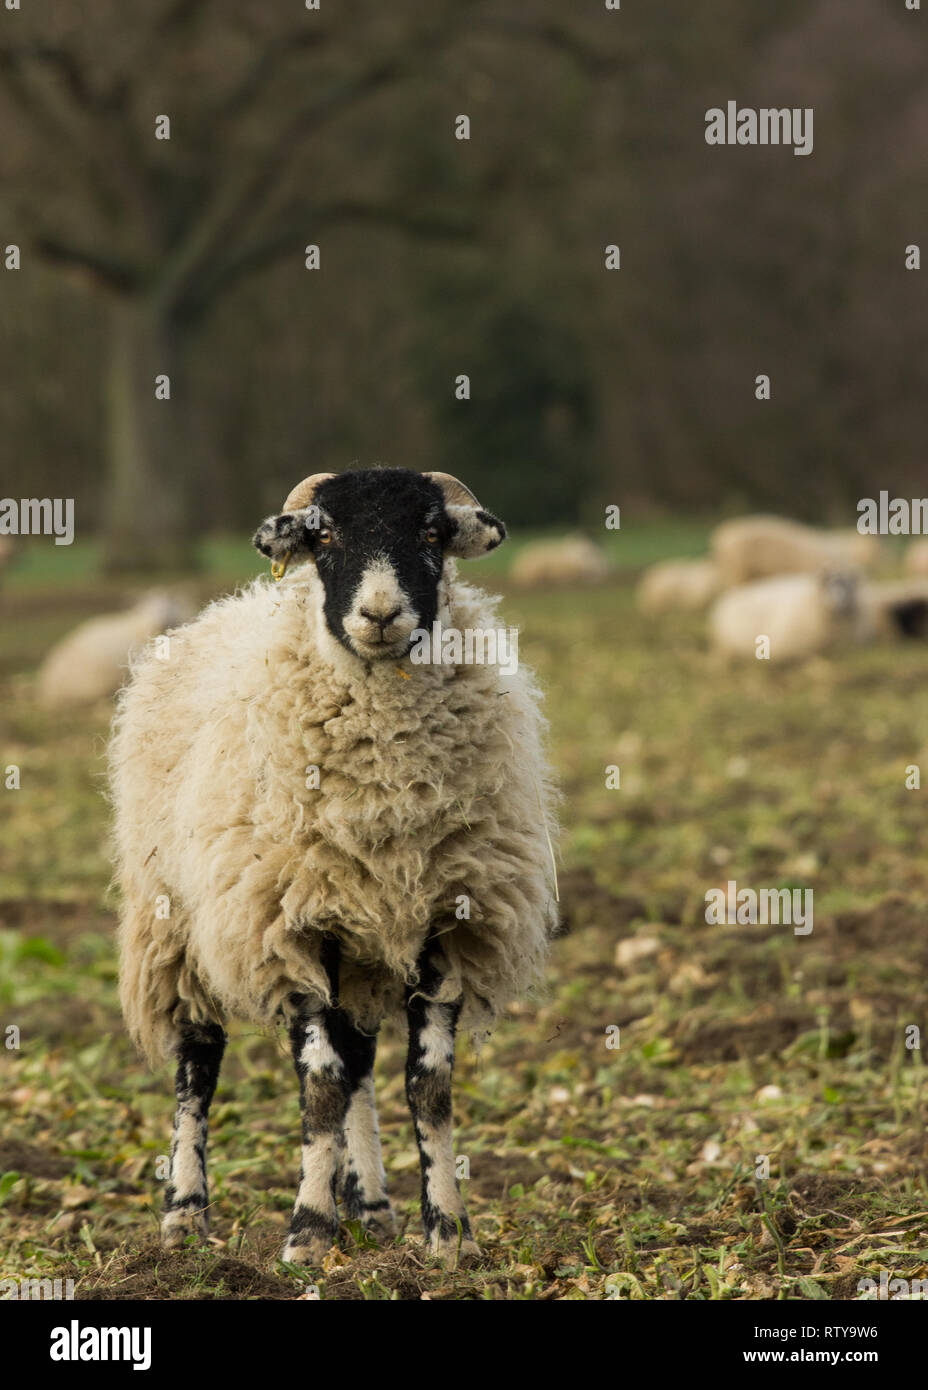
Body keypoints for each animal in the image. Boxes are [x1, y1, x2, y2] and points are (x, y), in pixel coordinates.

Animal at [109, 468, 558, 1268]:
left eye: (432, 533)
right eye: (322, 538)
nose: (380, 613)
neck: (384, 791)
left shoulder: (444, 923)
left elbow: (425, 1089)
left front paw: (447, 1234)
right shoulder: (290, 927)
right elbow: (319, 1088)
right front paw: (306, 1235)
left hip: (366, 945)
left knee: (361, 1064)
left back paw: (371, 1208)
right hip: (174, 925)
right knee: (199, 1062)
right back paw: (185, 1217)